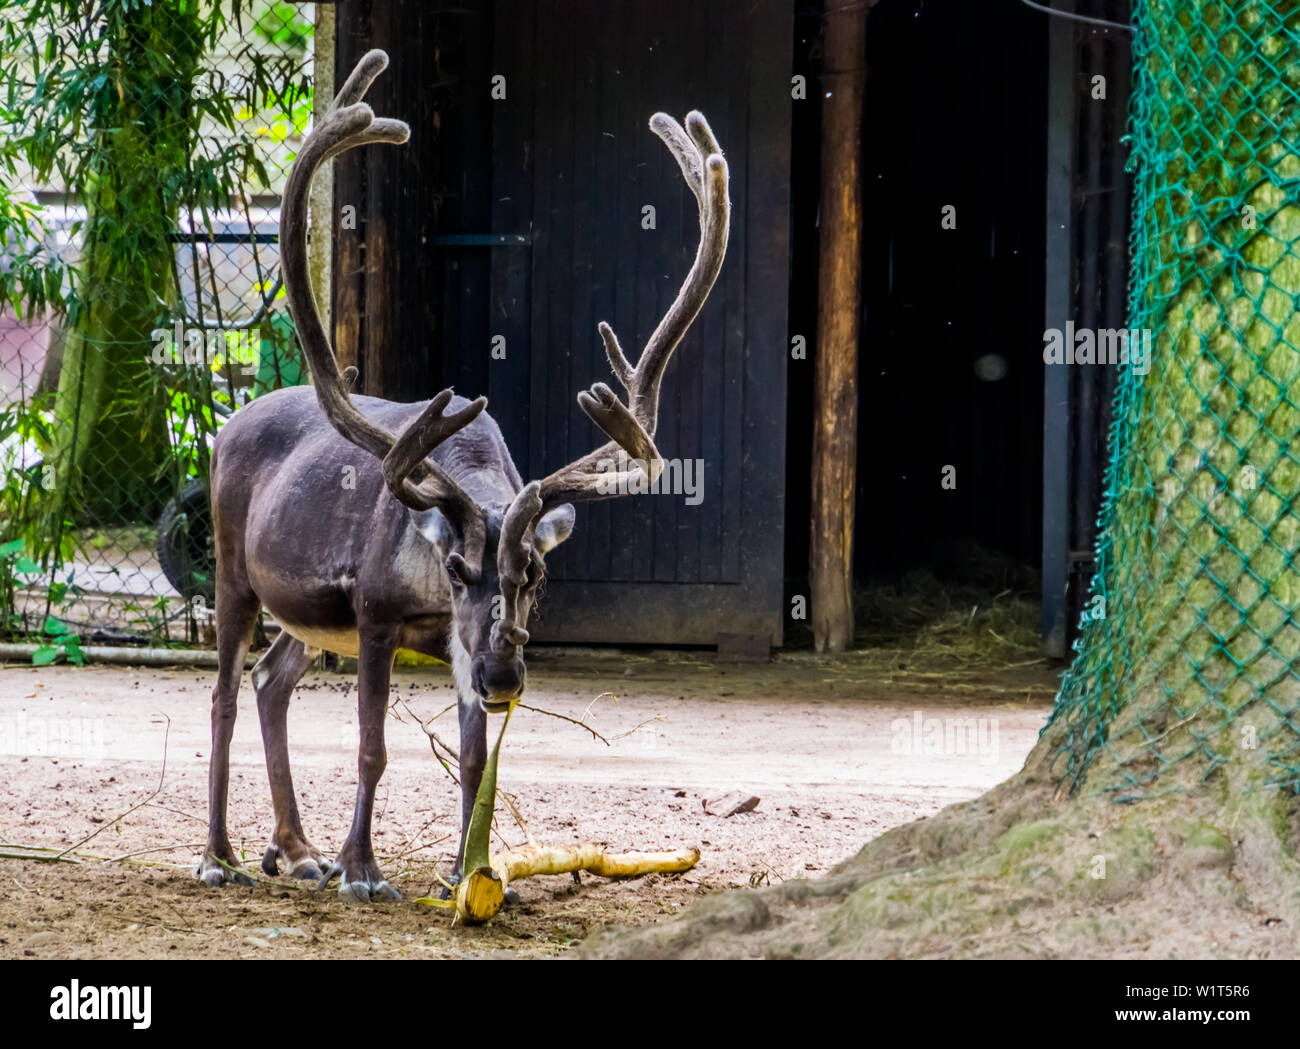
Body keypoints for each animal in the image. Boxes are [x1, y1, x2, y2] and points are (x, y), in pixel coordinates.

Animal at [196, 50, 730, 902]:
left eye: (538, 571)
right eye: (454, 564)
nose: (505, 670)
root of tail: (228, 428)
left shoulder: (452, 641)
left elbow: (477, 758)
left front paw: (465, 873)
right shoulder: (376, 616)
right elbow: (372, 744)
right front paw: (364, 870)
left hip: (308, 617)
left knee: (272, 679)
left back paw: (298, 848)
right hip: (235, 574)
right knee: (222, 694)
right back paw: (220, 854)